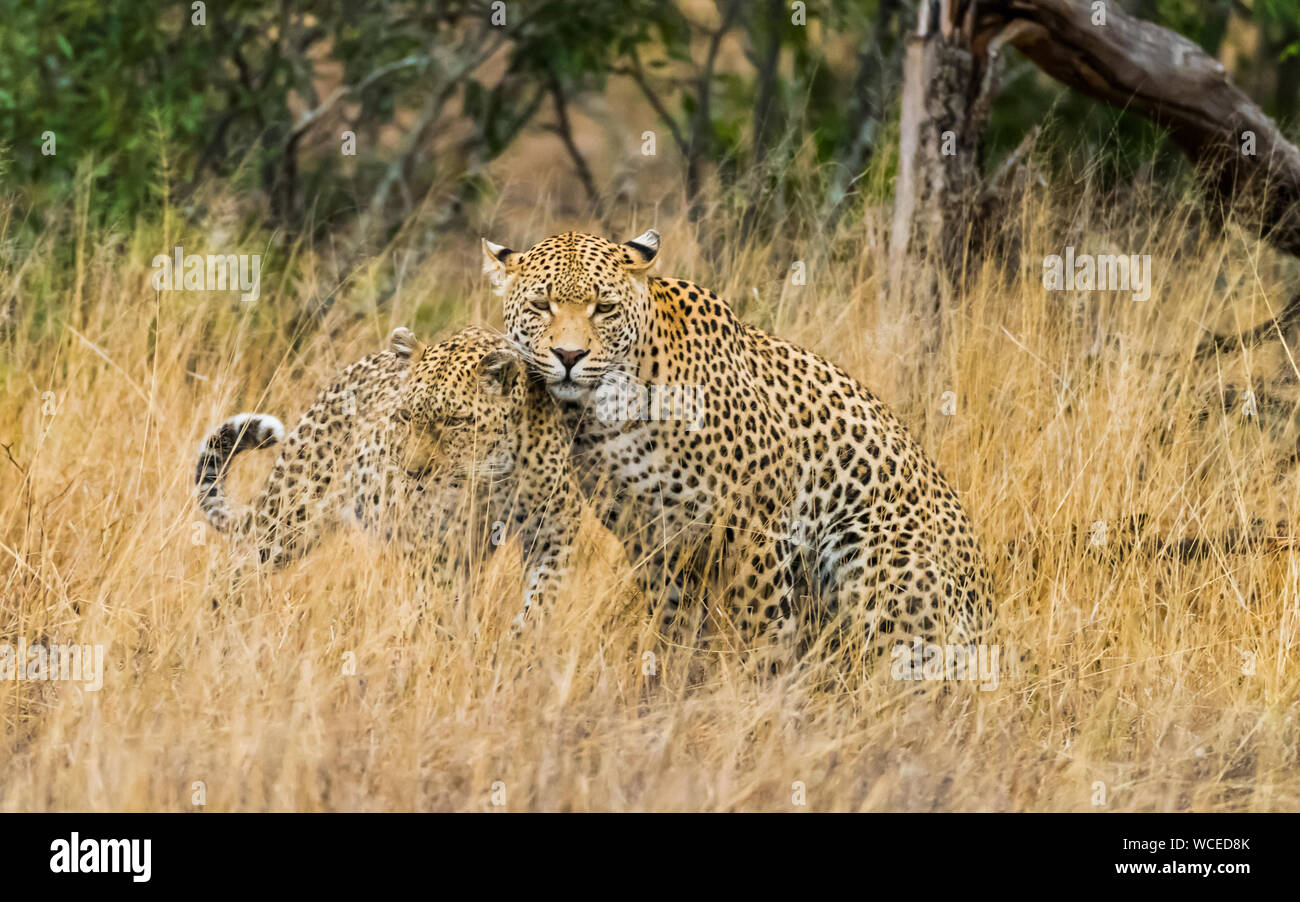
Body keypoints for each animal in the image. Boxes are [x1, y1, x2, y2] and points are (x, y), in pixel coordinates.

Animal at [194, 325, 580, 621]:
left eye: (454, 421)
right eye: (405, 416)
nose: (413, 472)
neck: (489, 476)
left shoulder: (557, 526)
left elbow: (542, 595)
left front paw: (522, 645)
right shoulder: (435, 546)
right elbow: (439, 604)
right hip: (289, 513)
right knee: (235, 564)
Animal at [482, 229, 995, 666]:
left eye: (604, 308)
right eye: (541, 305)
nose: (569, 356)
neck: (605, 416)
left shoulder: (755, 524)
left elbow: (761, 620)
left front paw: (761, 689)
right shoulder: (648, 534)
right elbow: (674, 623)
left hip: (870, 549)